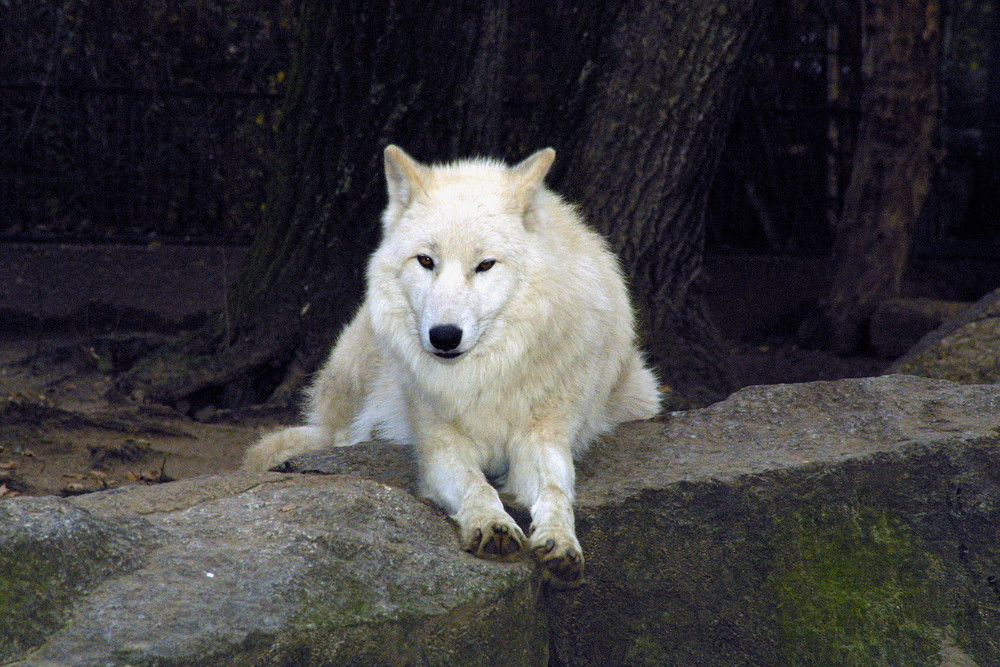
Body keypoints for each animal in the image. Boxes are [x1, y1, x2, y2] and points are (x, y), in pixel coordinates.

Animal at [243, 145, 660, 586]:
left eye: (486, 265)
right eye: (426, 260)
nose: (444, 336)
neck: (485, 373)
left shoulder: (543, 438)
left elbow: (555, 490)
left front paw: (560, 542)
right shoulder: (440, 443)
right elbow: (476, 485)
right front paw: (491, 524)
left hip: (643, 392)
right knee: (333, 435)